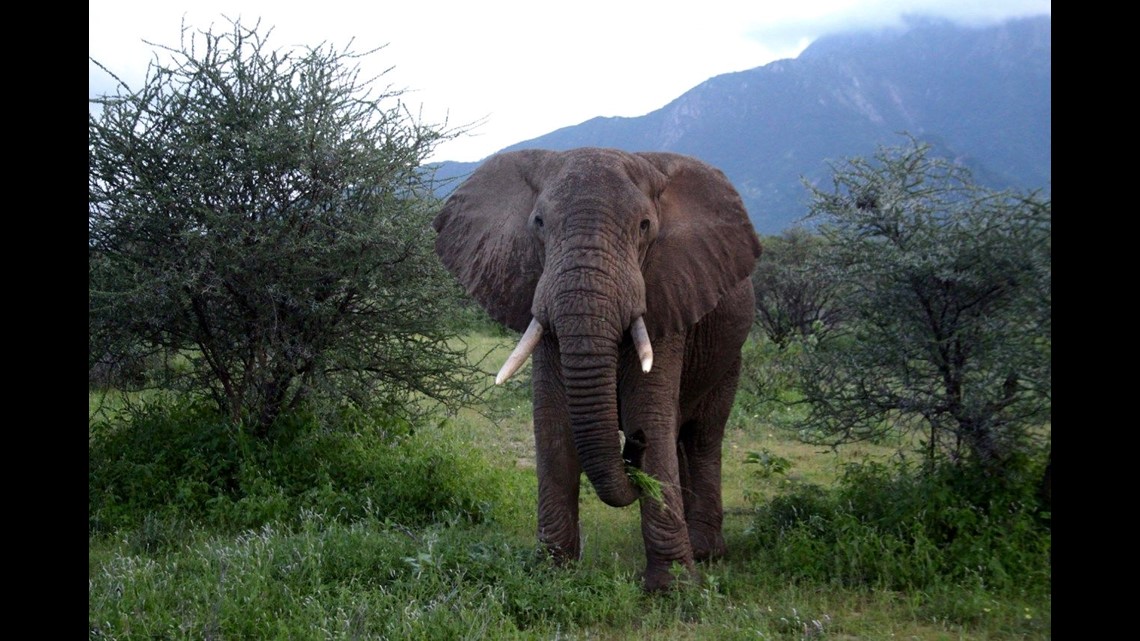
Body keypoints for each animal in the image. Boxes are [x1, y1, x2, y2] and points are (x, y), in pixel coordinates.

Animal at [433, 147, 761, 591]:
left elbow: (650, 414)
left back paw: (707, 552)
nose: (633, 444)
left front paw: (671, 589)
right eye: (539, 223)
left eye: (644, 227)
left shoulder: (666, 293)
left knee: (702, 436)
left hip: (730, 353)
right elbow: (553, 421)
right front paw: (552, 573)